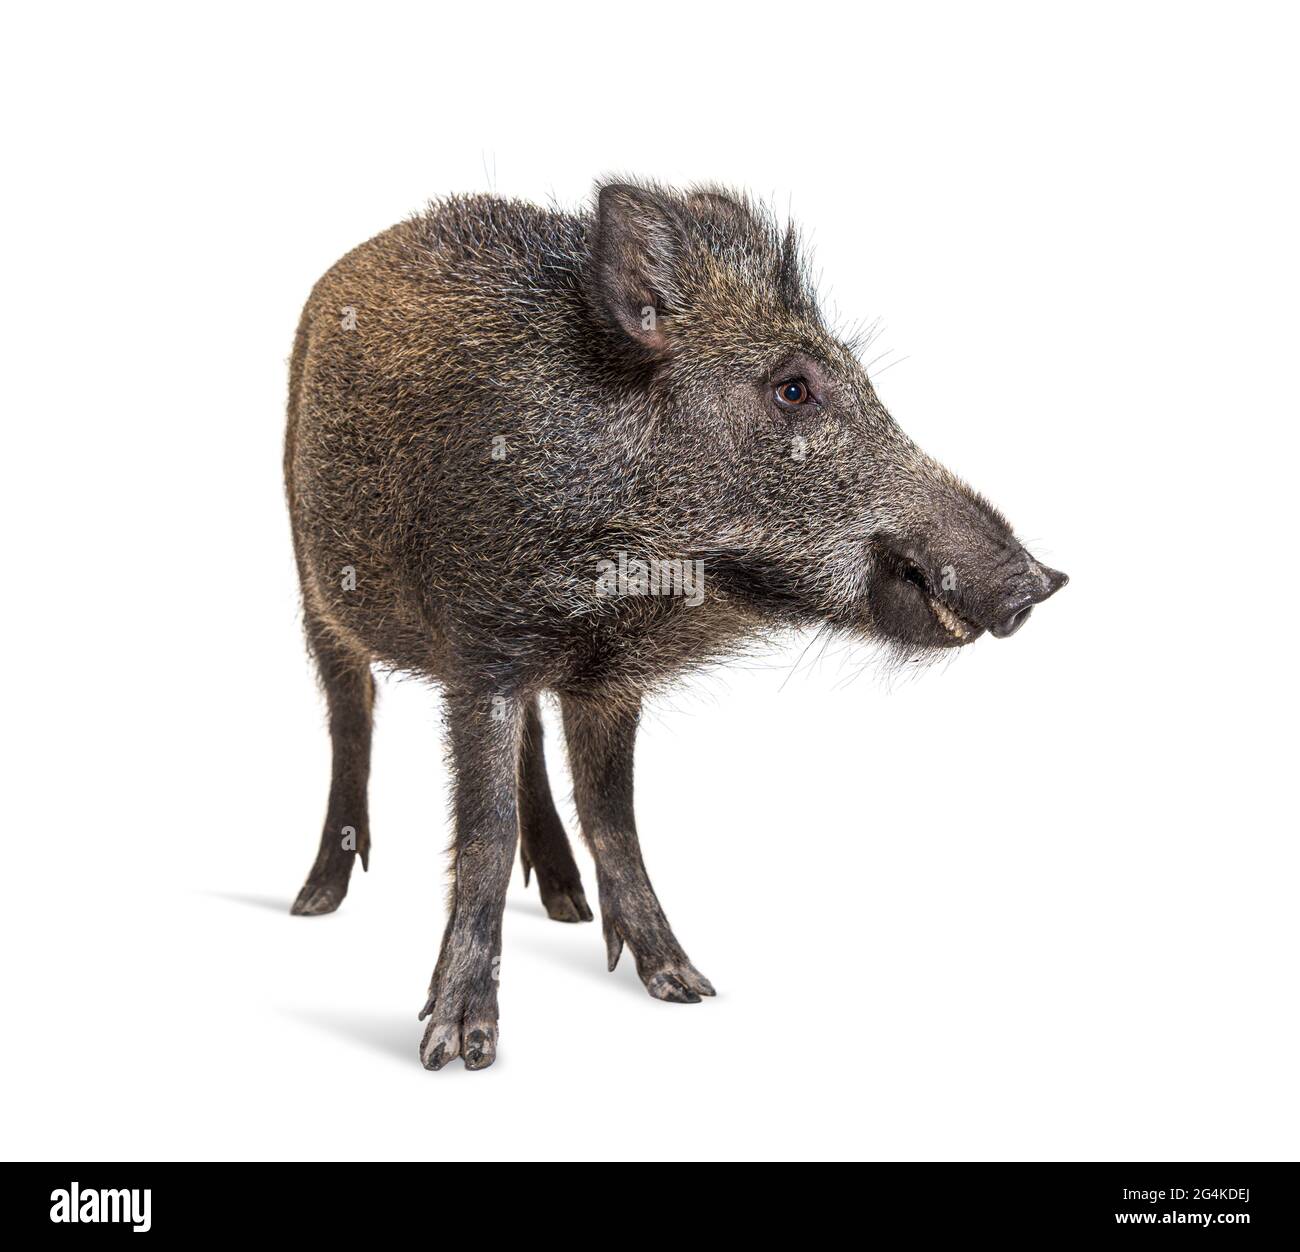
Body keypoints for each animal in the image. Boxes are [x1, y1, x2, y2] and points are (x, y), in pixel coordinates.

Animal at [284, 180, 1068, 1070]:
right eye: (793, 388)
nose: (1037, 582)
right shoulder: (486, 656)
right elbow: (484, 833)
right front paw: (458, 1047)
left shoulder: (607, 679)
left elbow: (614, 816)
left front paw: (683, 986)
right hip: (310, 581)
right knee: (351, 715)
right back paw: (314, 901)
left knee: (531, 748)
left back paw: (566, 905)